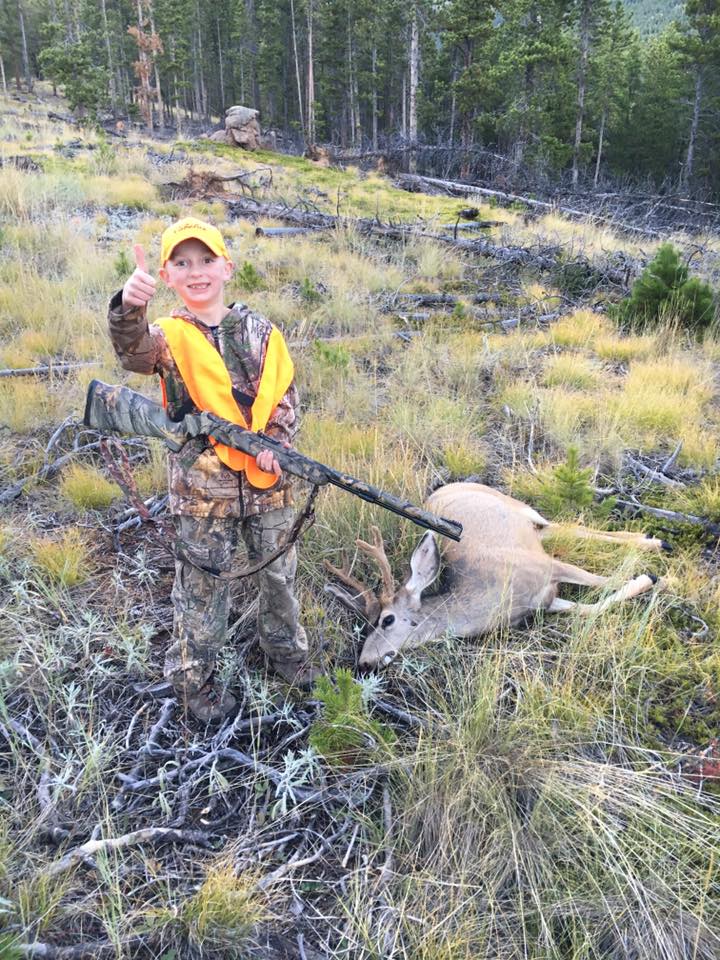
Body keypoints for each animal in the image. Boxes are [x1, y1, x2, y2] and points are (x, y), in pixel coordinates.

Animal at [324, 482, 666, 669]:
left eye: (387, 620)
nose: (364, 662)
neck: (491, 595)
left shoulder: (545, 566)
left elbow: (605, 582)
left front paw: (656, 578)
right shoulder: (545, 601)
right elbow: (591, 607)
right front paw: (648, 578)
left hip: (522, 509)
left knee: (566, 526)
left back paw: (656, 542)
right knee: (561, 529)